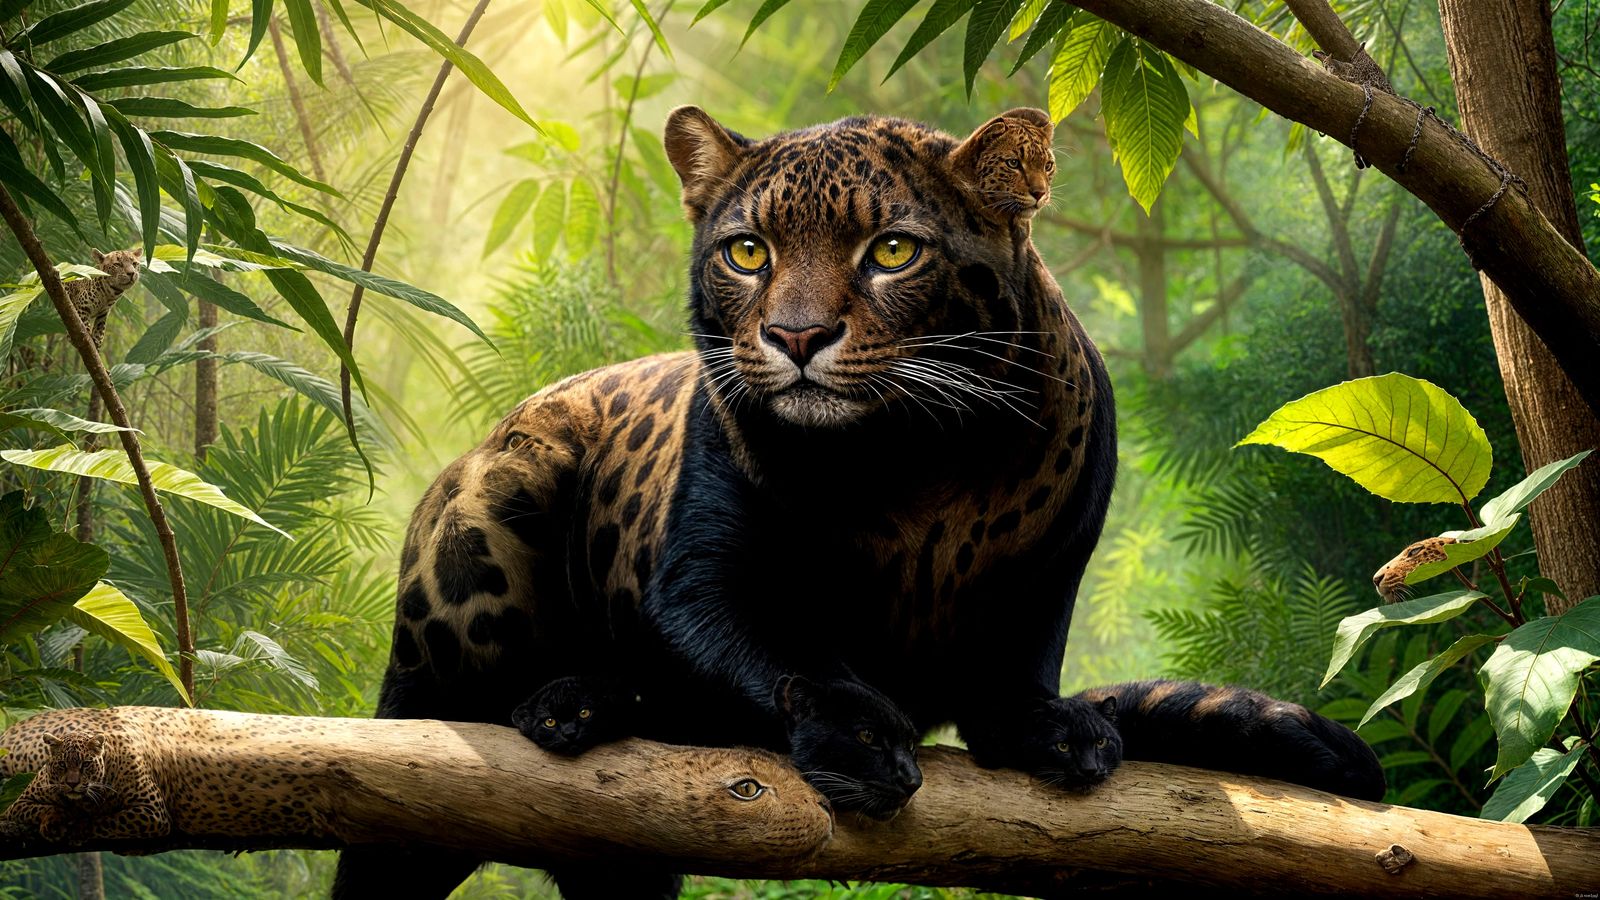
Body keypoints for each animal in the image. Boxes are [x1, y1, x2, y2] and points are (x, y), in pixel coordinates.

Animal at [336, 106, 1379, 899]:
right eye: (747, 252)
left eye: (893, 250)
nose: (798, 336)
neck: (914, 458)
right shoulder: (700, 575)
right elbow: (778, 651)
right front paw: (863, 738)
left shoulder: (1054, 565)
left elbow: (1020, 664)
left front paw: (1052, 728)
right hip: (492, 509)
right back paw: (565, 705)